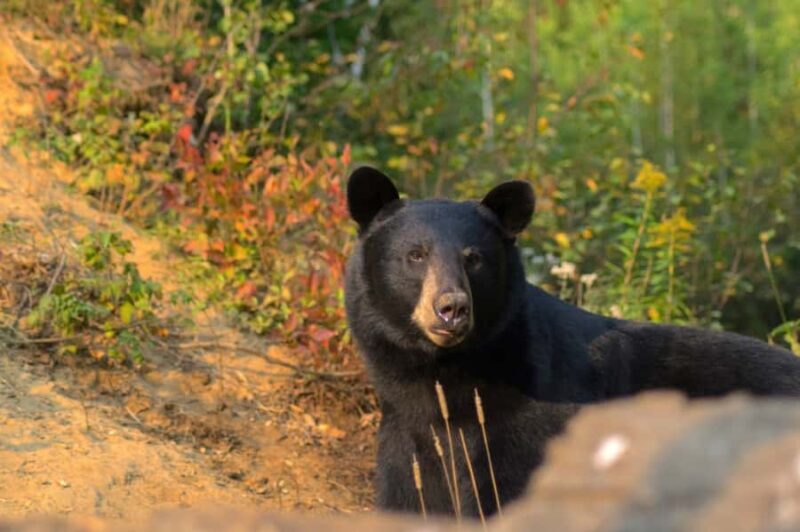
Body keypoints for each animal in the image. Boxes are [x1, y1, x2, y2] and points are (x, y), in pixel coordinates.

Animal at [344, 166, 800, 518]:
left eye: (474, 258)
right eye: (415, 255)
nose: (452, 308)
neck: (445, 371)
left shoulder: (532, 422)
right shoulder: (407, 433)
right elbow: (409, 496)